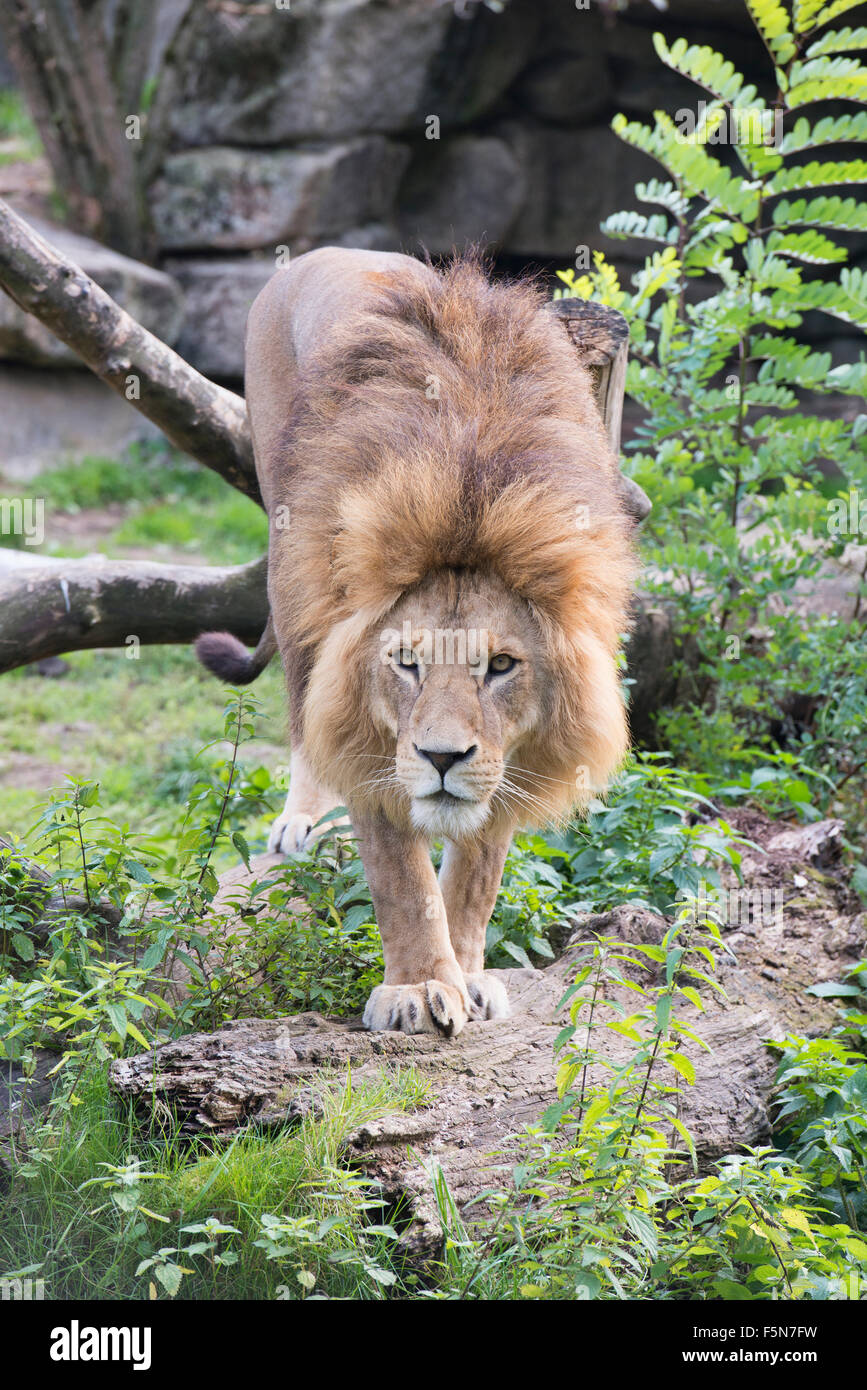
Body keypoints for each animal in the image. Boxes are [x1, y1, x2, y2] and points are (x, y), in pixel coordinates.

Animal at [195, 247, 637, 1037]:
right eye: (405, 664)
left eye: (501, 665)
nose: (439, 757)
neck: (468, 485)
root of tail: (319, 254)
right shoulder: (371, 736)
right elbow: (401, 878)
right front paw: (418, 988)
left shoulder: (506, 753)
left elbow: (476, 875)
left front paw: (468, 975)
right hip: (290, 552)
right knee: (302, 704)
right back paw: (303, 820)